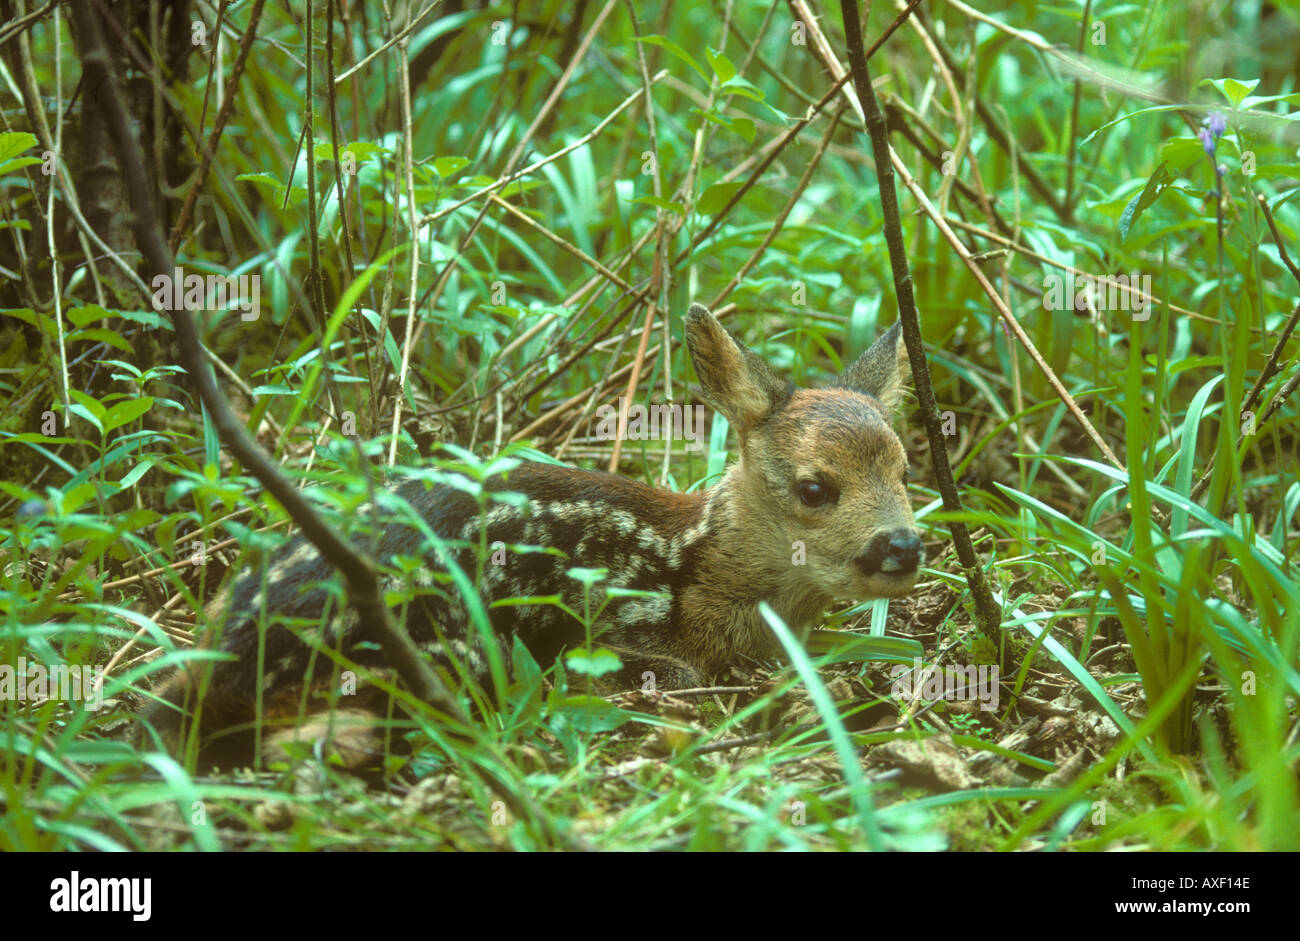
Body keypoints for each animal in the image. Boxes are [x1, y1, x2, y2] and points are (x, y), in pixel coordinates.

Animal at [141, 303, 924, 769]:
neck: (697, 564)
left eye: (905, 468)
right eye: (815, 488)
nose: (903, 545)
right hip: (433, 655)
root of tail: (228, 655)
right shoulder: (623, 632)